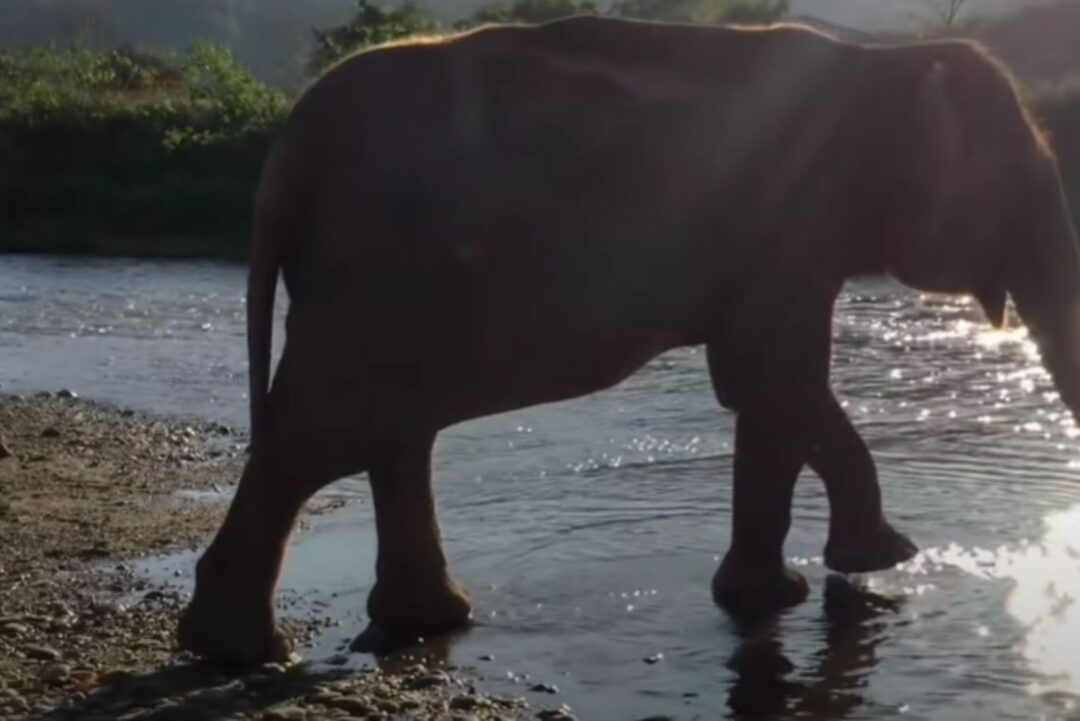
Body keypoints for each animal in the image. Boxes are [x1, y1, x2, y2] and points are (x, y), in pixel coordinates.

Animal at [177, 15, 1080, 664]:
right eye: (1015, 179)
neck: (882, 62)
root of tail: (285, 157)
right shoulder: (787, 220)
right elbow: (773, 381)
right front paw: (870, 562)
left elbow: (764, 393)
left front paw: (788, 591)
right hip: (367, 281)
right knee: (318, 436)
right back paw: (245, 653)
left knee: (389, 436)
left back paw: (424, 622)